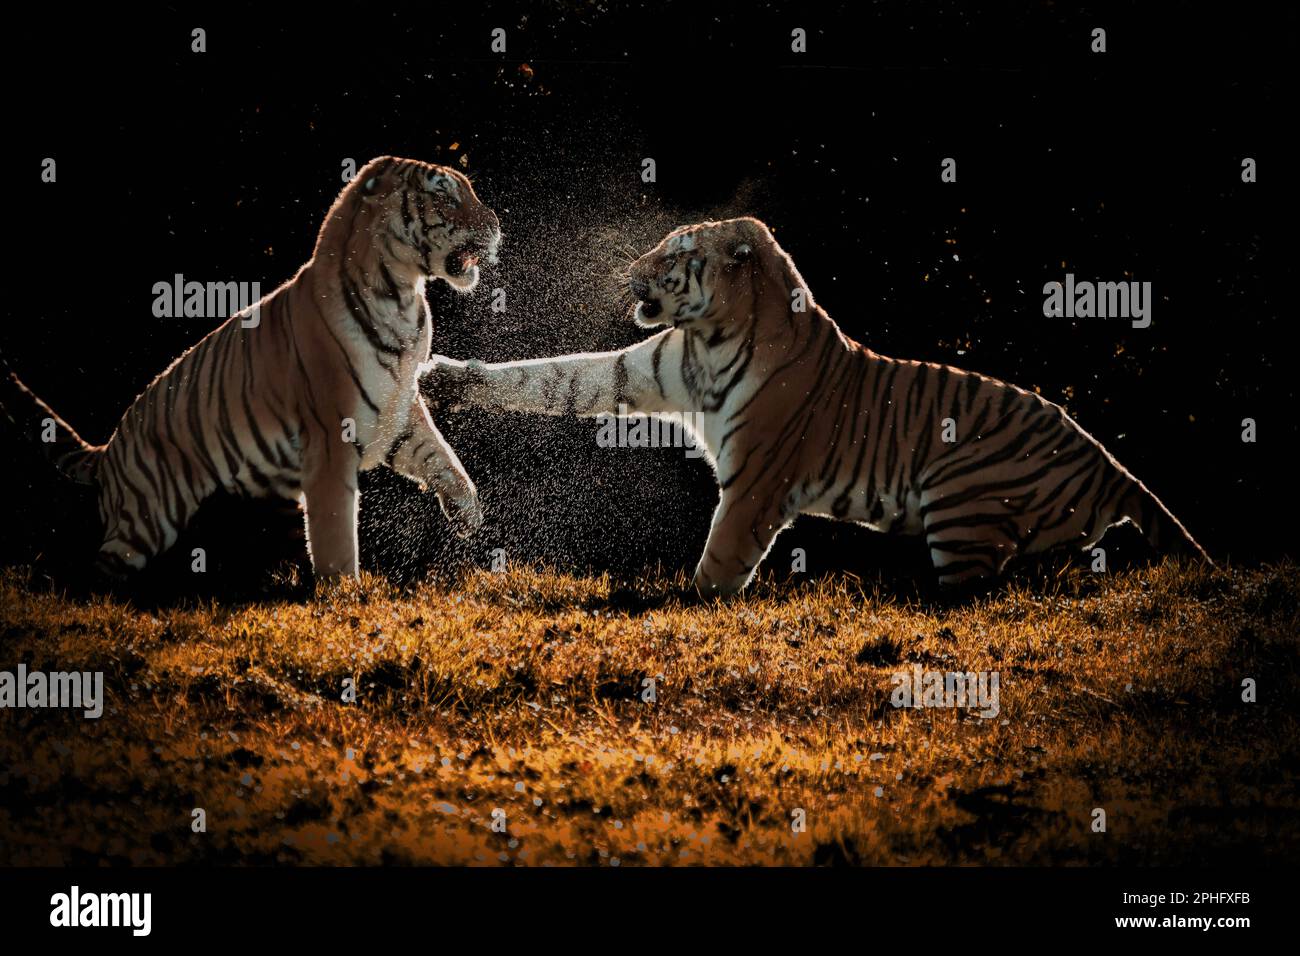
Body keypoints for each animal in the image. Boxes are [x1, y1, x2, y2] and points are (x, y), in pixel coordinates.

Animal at [2, 156, 499, 581]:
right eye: (444, 196)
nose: (496, 223)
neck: (403, 296)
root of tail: (108, 451)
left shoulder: (397, 412)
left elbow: (443, 458)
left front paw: (468, 512)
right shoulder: (331, 437)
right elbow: (336, 530)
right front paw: (345, 595)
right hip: (144, 522)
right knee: (98, 572)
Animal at [419, 215, 1210, 596]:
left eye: (673, 254)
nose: (633, 271)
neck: (714, 333)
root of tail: (1107, 461)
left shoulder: (757, 480)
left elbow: (722, 556)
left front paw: (684, 603)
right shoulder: (645, 366)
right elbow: (555, 379)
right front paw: (444, 380)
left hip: (965, 511)